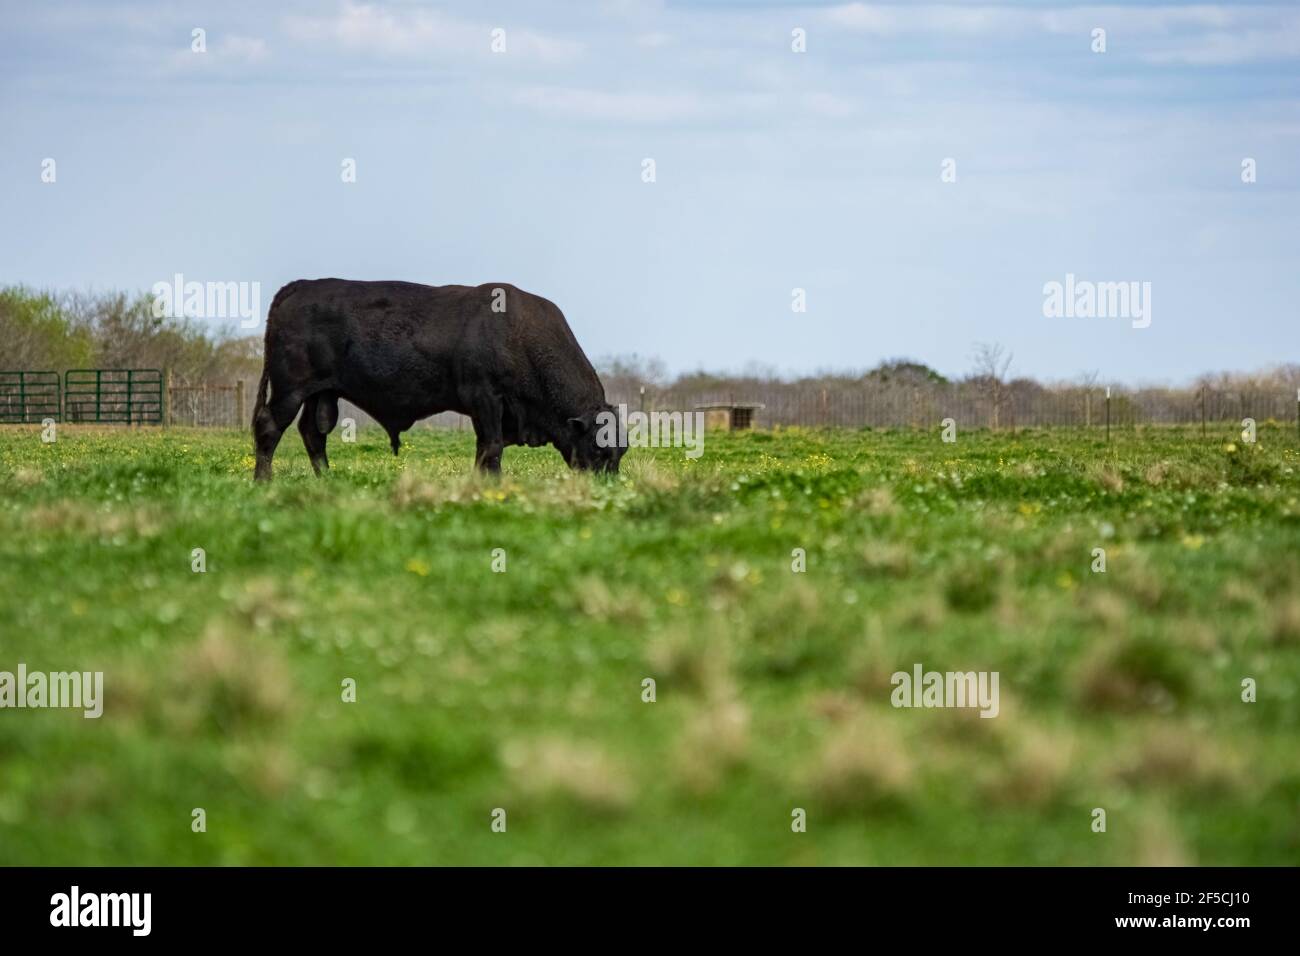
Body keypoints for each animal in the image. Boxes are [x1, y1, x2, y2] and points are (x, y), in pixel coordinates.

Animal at [251, 279, 624, 480]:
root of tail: (301, 286)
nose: (606, 487)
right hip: (289, 390)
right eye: (599, 448)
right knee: (270, 427)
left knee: (313, 434)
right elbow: (492, 448)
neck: (517, 334)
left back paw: (327, 479)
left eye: (621, 451)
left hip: (320, 393)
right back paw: (263, 482)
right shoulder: (486, 400)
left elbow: (484, 449)